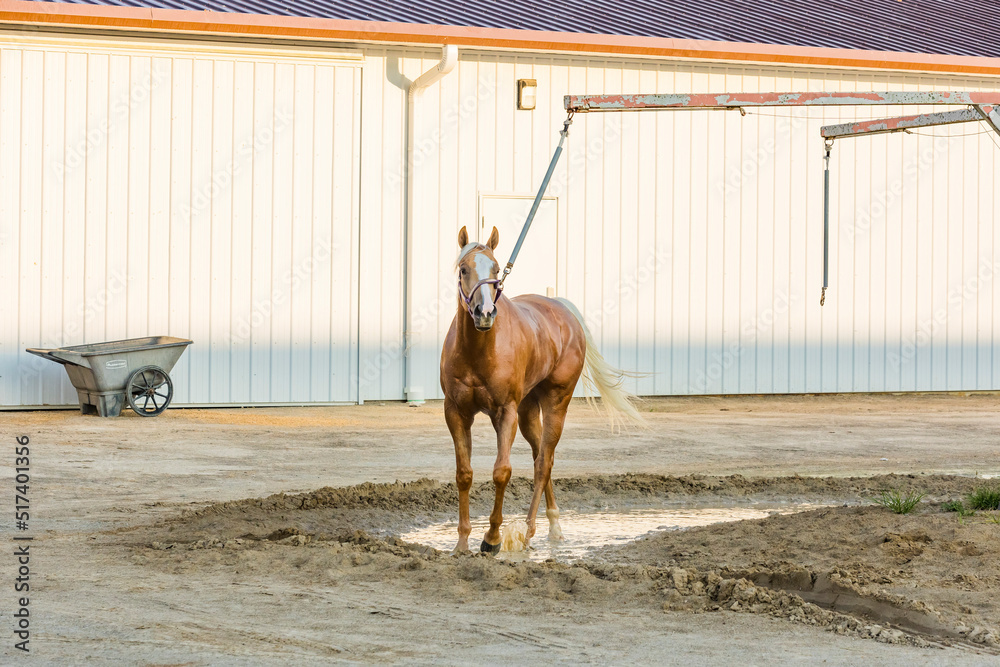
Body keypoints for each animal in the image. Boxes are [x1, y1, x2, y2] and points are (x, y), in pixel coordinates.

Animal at [440, 224, 642, 554]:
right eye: (464, 269)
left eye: (496, 269)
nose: (484, 313)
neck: (479, 351)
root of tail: (562, 309)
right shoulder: (456, 412)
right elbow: (464, 474)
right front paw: (461, 543)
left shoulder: (505, 413)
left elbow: (502, 472)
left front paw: (492, 538)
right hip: (528, 411)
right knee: (541, 457)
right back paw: (553, 527)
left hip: (556, 402)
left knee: (544, 463)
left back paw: (531, 530)